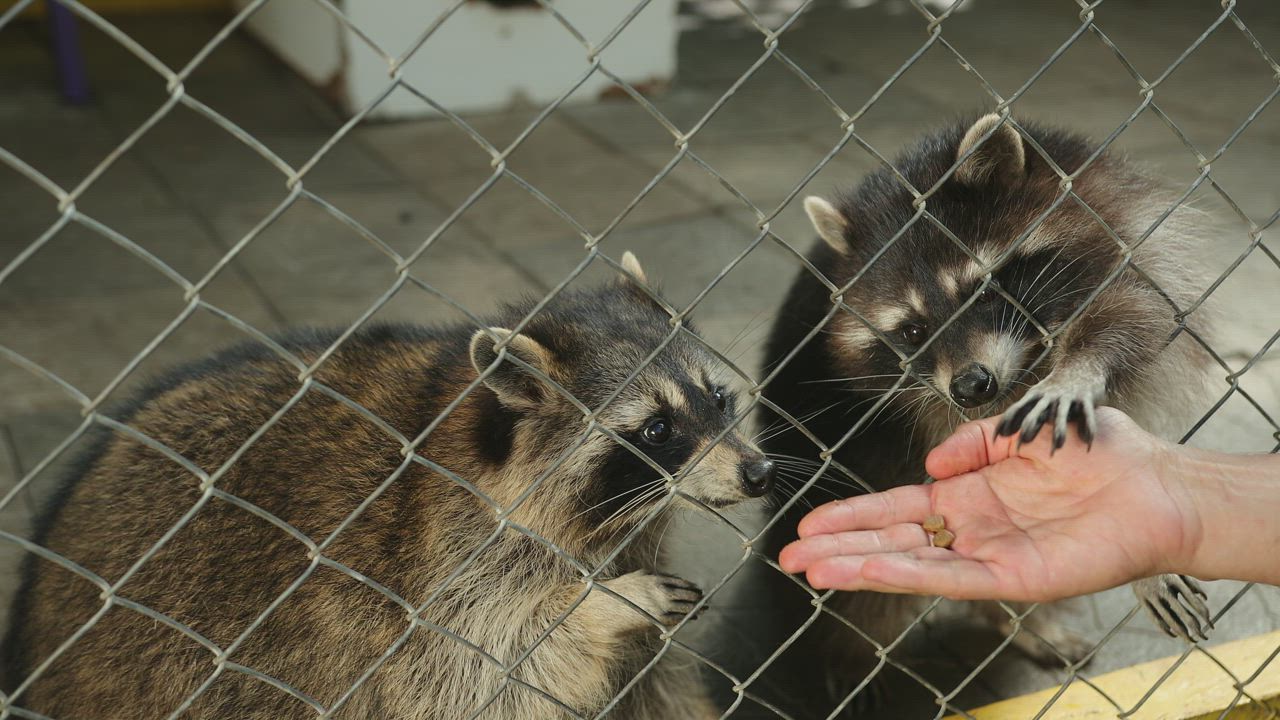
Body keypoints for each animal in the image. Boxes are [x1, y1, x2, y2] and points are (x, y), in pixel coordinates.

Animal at [3, 253, 775, 720]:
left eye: (718, 398)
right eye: (656, 429)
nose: (759, 472)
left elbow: (647, 685)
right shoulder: (440, 567)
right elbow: (491, 668)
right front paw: (604, 605)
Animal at [757, 114, 1214, 708]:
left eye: (982, 292)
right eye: (913, 330)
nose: (972, 387)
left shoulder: (1119, 239)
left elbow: (1133, 316)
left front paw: (1079, 372)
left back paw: (1025, 621)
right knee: (852, 592)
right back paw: (855, 653)